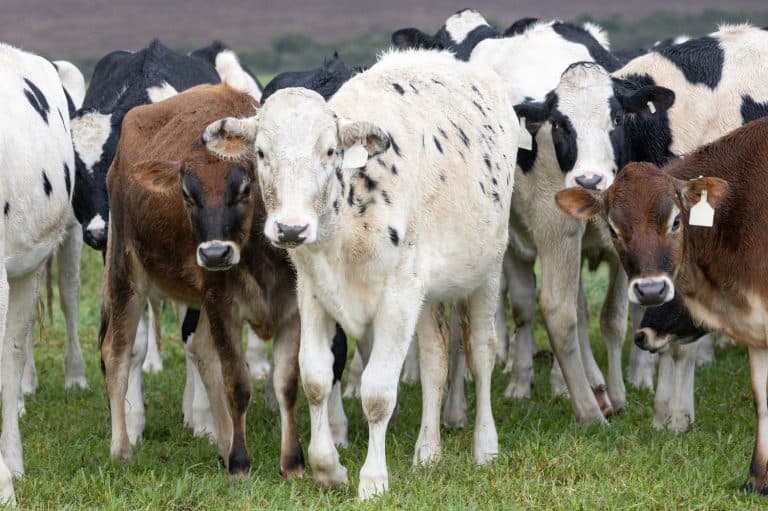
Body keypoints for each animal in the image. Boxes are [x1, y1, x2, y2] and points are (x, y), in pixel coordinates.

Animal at [202, 48, 518, 499]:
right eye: (261, 153)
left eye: (329, 152)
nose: (291, 228)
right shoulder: (313, 293)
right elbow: (315, 378)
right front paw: (328, 468)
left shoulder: (398, 299)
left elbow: (377, 392)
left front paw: (373, 480)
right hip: (426, 297)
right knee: (435, 357)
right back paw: (427, 451)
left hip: (487, 272)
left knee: (482, 352)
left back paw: (484, 446)